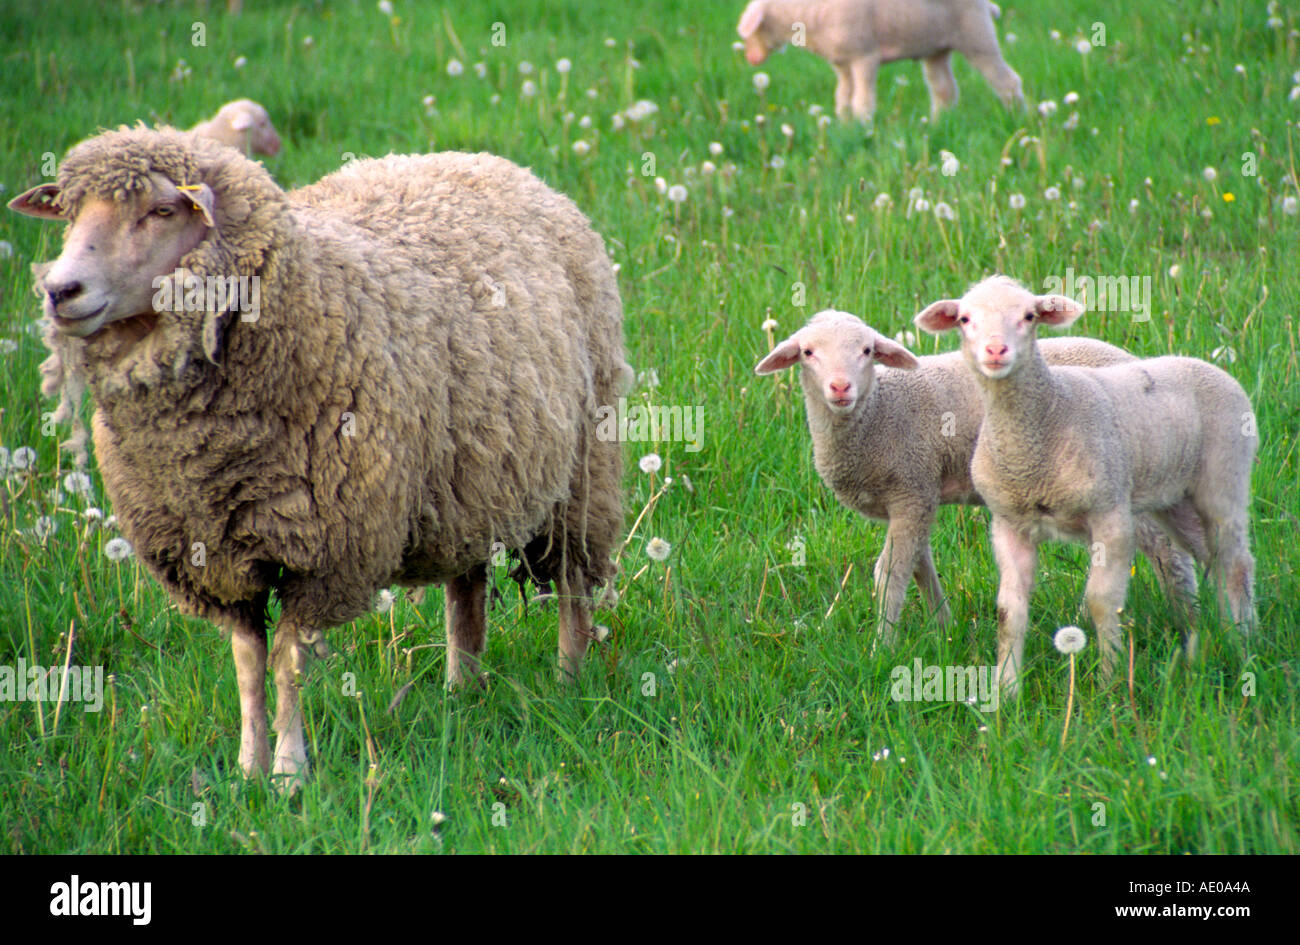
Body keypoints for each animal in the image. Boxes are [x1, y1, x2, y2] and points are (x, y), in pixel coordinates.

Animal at [8, 125, 627, 789]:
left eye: (162, 210)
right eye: (70, 214)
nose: (59, 290)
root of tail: (482, 160)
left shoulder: (326, 551)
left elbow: (288, 663)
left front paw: (289, 773)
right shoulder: (218, 554)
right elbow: (248, 663)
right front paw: (249, 769)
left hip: (585, 467)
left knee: (573, 582)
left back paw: (569, 682)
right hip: (471, 476)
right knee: (467, 590)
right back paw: (462, 689)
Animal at [736, 0, 1024, 122]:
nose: (750, 59)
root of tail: (986, 4)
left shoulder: (864, 57)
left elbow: (861, 101)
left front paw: (864, 127)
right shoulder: (842, 64)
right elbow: (842, 99)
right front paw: (845, 126)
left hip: (977, 36)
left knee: (1007, 81)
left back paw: (1018, 117)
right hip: (936, 49)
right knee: (945, 91)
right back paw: (938, 124)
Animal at [755, 309, 1199, 644]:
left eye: (867, 351)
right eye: (808, 352)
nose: (840, 387)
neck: (878, 412)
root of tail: (1136, 364)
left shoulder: (911, 486)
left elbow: (890, 573)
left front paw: (882, 645)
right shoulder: (919, 494)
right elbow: (920, 564)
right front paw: (944, 628)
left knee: (1166, 551)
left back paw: (1186, 618)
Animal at [915, 276, 1256, 698]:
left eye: (1029, 316)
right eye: (964, 319)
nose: (996, 350)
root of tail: (1209, 366)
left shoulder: (1110, 514)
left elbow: (1102, 601)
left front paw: (1110, 682)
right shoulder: (1010, 523)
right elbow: (1009, 610)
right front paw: (1007, 691)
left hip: (1224, 478)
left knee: (1236, 562)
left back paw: (1244, 641)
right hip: (1172, 496)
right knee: (1211, 557)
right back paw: (1212, 636)